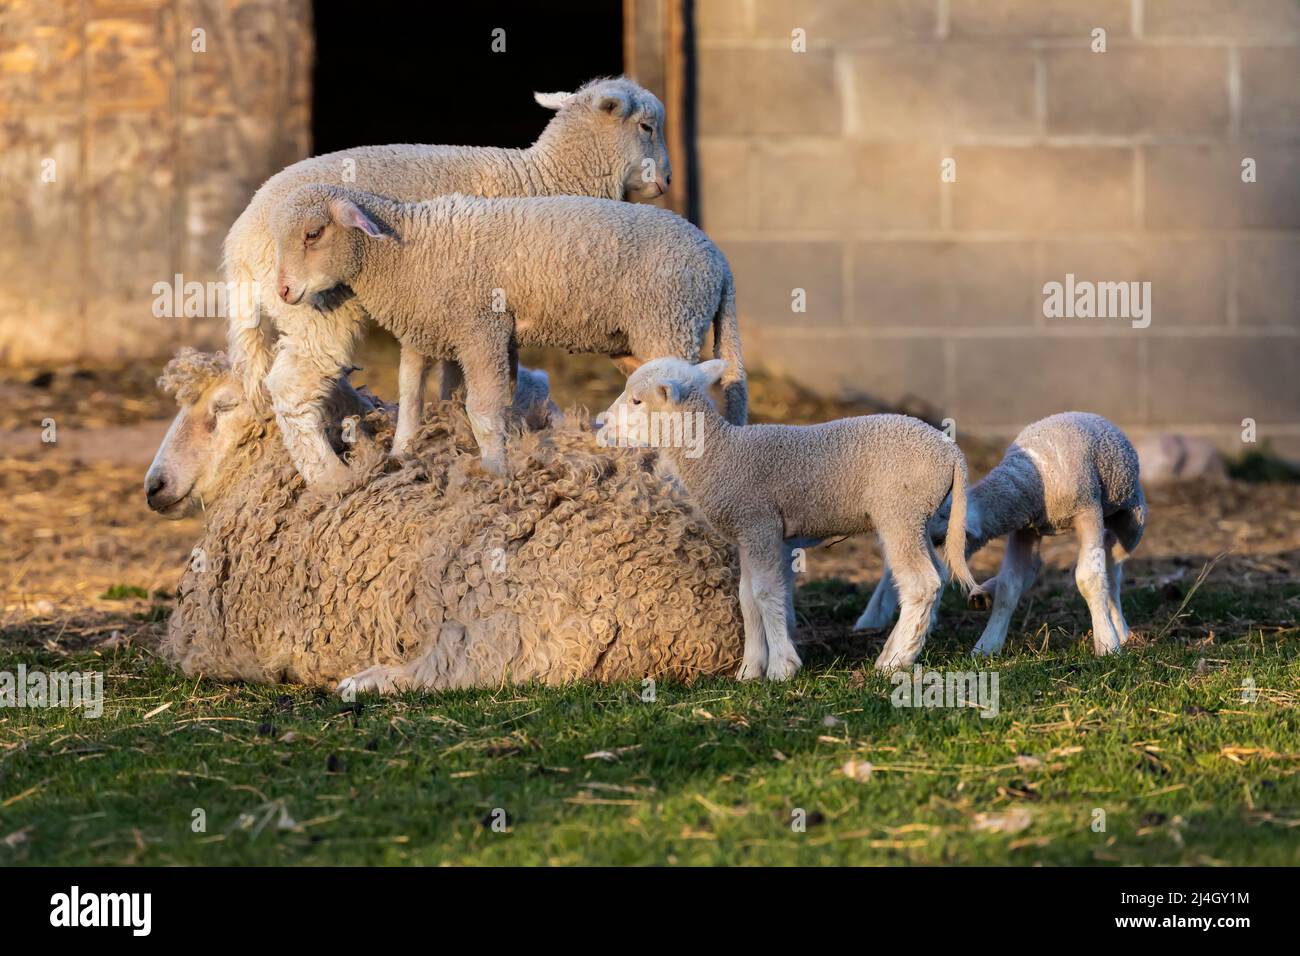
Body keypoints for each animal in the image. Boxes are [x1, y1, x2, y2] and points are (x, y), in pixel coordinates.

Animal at [145, 349, 743, 691]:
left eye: (223, 406)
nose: (154, 487)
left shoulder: (216, 641)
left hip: (502, 599)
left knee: (470, 669)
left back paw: (367, 680)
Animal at [225, 76, 672, 485]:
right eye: (647, 127)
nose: (666, 181)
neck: (549, 176)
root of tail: (238, 244)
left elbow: (456, 381)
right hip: (314, 305)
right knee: (291, 387)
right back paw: (331, 479)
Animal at [269, 184, 747, 482]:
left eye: (313, 233)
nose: (284, 291)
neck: (407, 250)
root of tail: (719, 260)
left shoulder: (482, 329)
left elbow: (483, 408)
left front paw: (495, 468)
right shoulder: (422, 331)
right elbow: (410, 396)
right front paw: (400, 454)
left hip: (669, 322)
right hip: (639, 341)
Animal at [595, 358, 981, 679]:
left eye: (637, 401)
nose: (601, 422)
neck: (718, 454)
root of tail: (951, 452)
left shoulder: (759, 522)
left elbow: (767, 592)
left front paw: (782, 667)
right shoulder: (747, 534)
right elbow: (747, 597)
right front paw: (750, 669)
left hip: (899, 510)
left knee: (920, 583)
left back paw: (896, 661)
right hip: (917, 516)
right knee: (937, 575)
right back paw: (901, 648)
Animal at [857, 411, 1147, 657]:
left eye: (939, 541)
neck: (1027, 479)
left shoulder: (1088, 511)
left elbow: (1090, 577)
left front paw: (1106, 644)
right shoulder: (1024, 527)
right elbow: (1011, 584)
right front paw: (987, 645)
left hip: (1132, 516)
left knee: (1113, 563)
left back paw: (1120, 628)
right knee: (1034, 568)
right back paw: (984, 592)